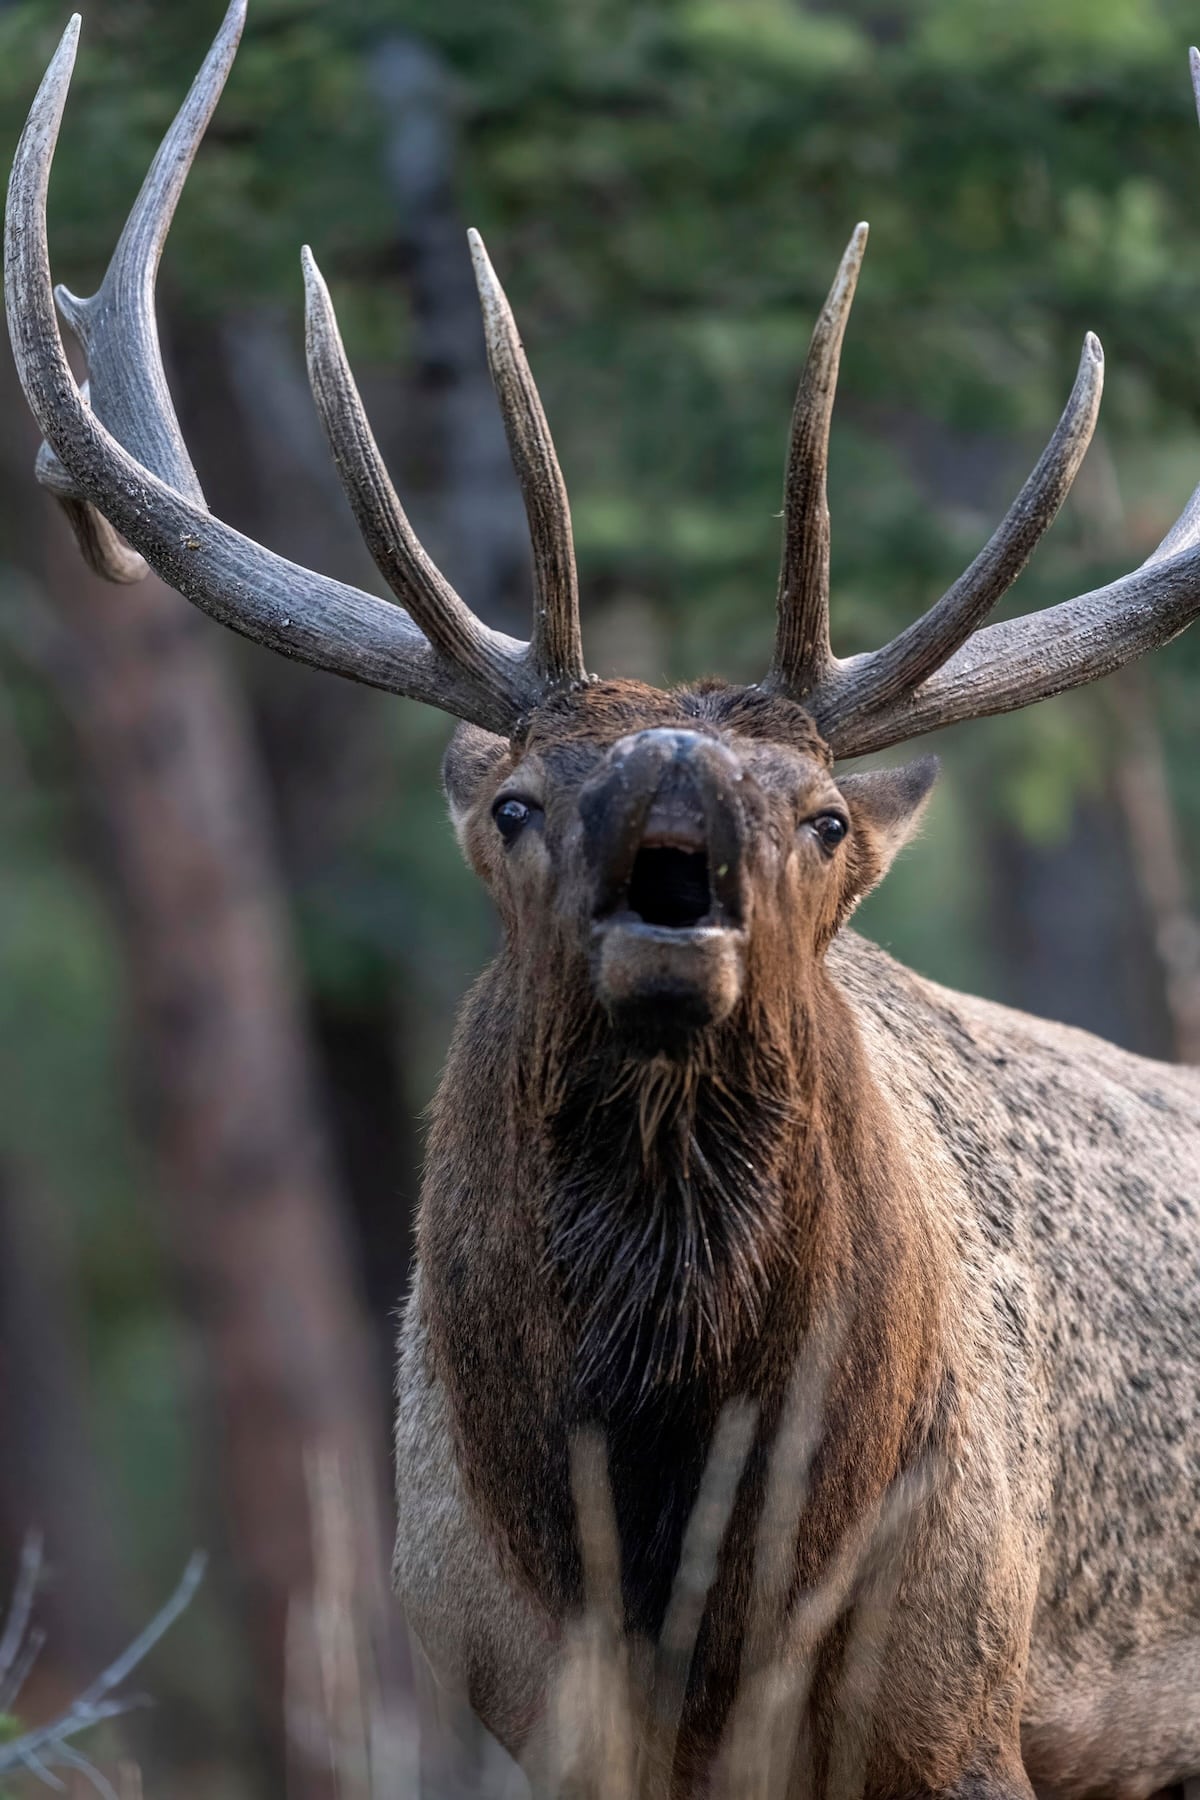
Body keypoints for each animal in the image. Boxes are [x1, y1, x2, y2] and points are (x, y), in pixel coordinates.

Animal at [7, 4, 1200, 1796]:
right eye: (517, 801)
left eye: (822, 817)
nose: (674, 794)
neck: (672, 1577)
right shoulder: (517, 1693)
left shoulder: (962, 1695)